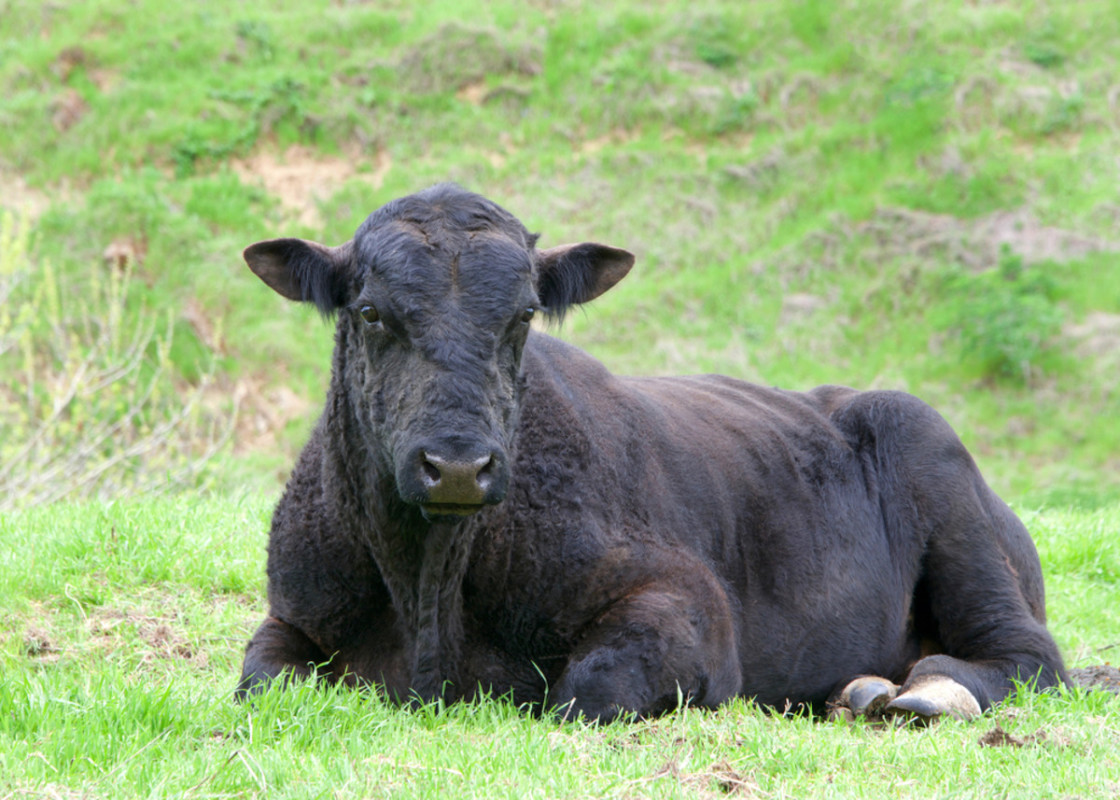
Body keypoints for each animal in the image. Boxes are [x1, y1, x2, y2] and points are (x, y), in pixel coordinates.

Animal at [236, 183, 1066, 723]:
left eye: (524, 316)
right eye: (371, 312)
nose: (460, 465)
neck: (429, 592)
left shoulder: (687, 598)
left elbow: (588, 693)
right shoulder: (296, 609)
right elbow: (261, 681)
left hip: (944, 487)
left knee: (1028, 655)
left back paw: (924, 692)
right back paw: (858, 690)